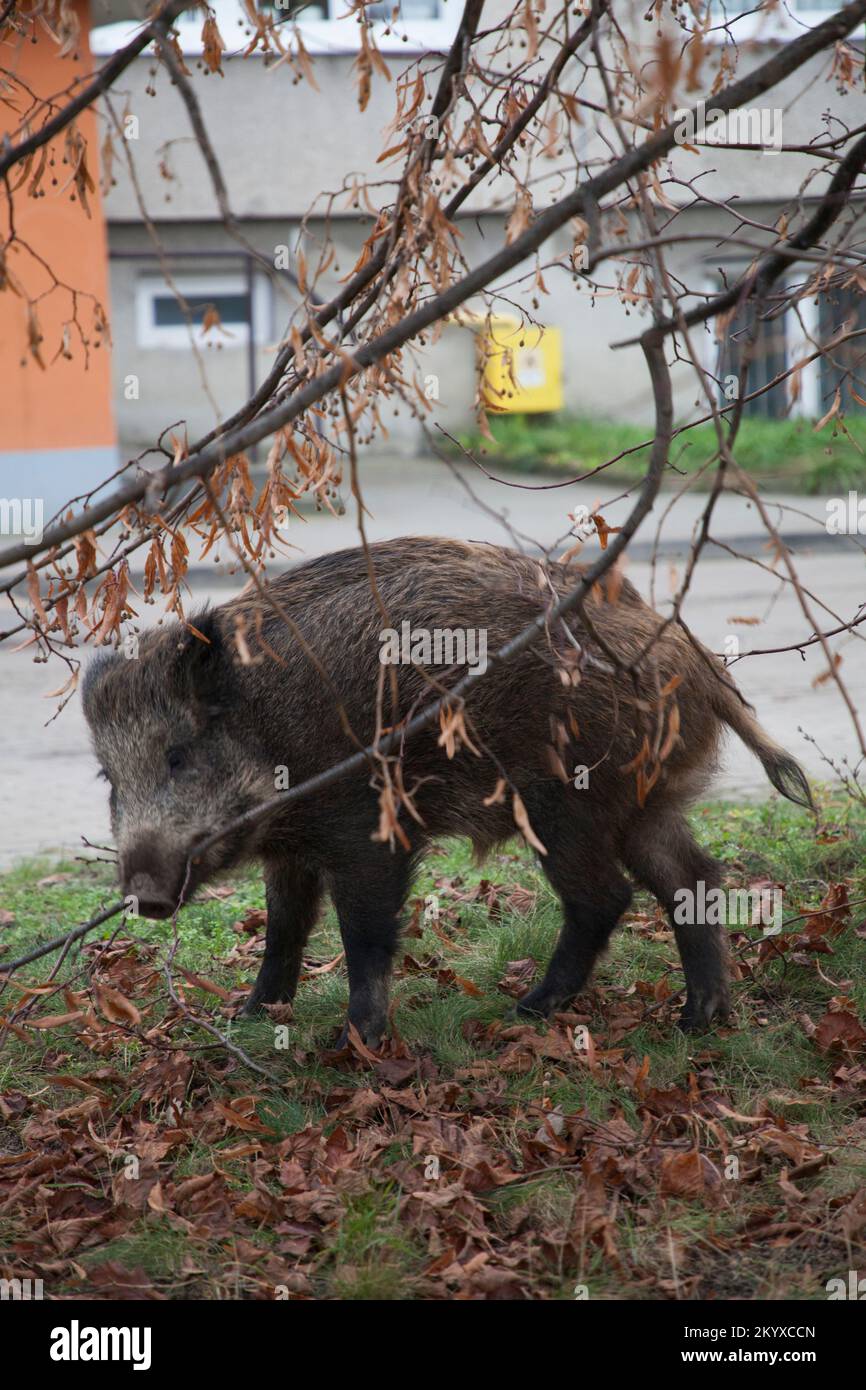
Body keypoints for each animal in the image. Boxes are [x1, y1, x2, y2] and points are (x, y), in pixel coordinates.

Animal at [82, 536, 812, 1046]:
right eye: (108, 778)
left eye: (178, 755)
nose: (144, 895)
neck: (271, 730)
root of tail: (698, 665)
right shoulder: (291, 851)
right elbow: (285, 929)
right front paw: (250, 1015)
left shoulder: (369, 828)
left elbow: (364, 935)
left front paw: (352, 1043)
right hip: (641, 806)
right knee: (693, 877)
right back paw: (697, 1019)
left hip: (564, 804)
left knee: (607, 896)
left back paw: (528, 1008)